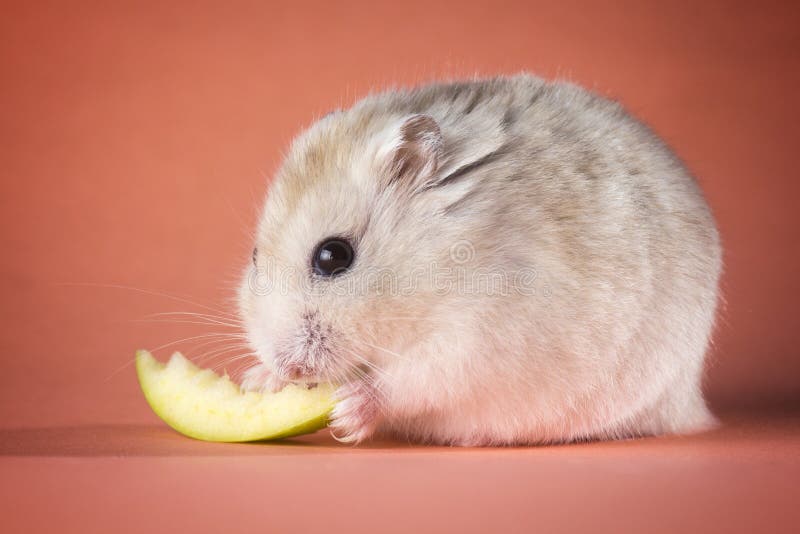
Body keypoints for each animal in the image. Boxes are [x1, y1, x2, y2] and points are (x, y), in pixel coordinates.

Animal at [238, 74, 722, 446]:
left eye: (333, 256)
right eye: (255, 257)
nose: (290, 367)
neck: (429, 274)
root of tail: (692, 402)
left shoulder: (479, 338)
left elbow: (411, 381)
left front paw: (346, 413)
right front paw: (258, 380)